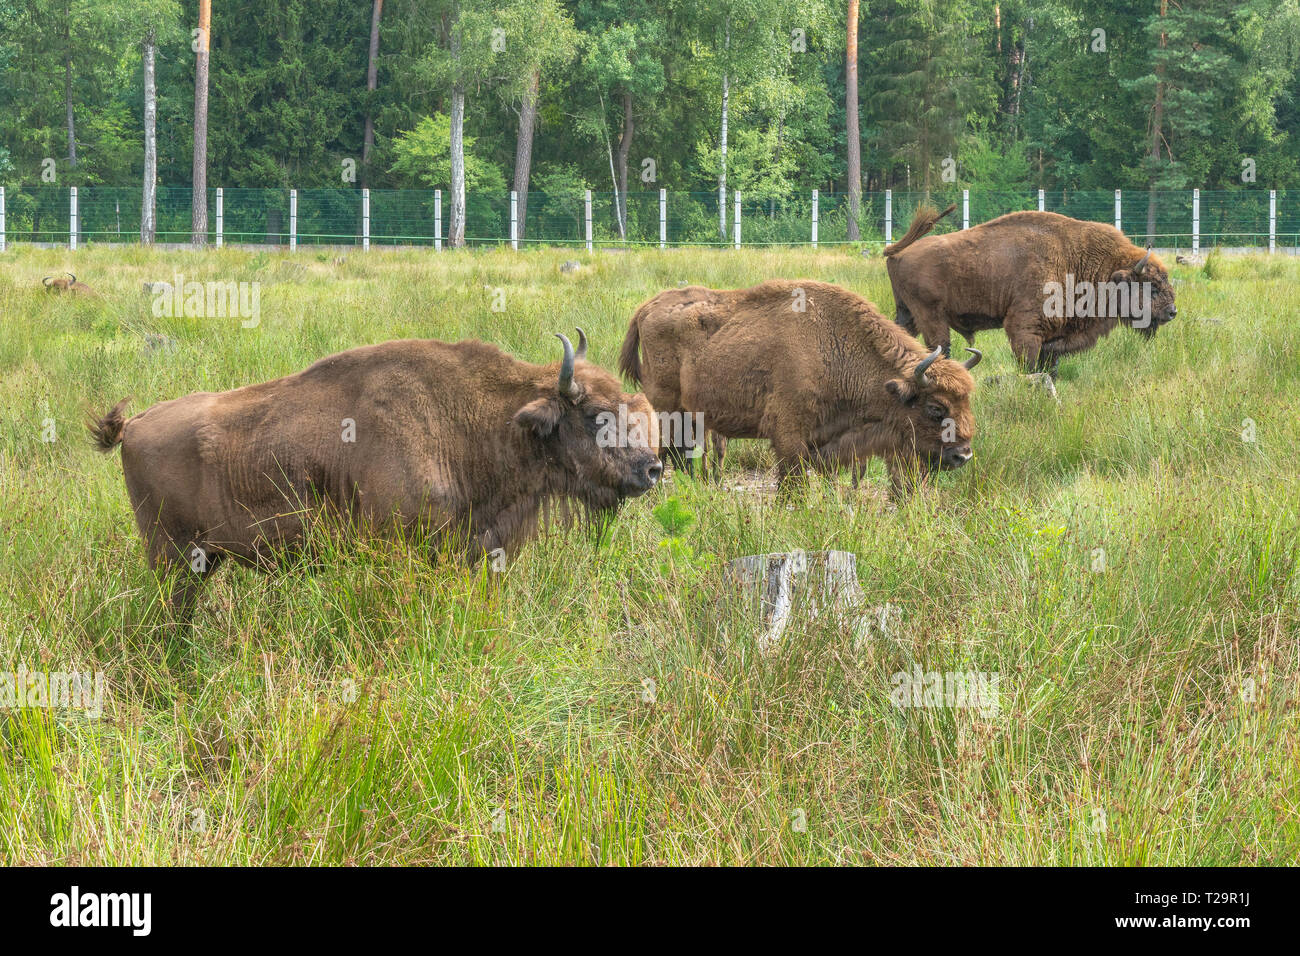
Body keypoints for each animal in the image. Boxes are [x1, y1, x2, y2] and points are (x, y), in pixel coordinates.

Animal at [619, 280, 981, 495]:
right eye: (935, 408)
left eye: (966, 403)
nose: (963, 455)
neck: (836, 347)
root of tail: (647, 307)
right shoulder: (789, 436)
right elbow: (794, 486)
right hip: (666, 408)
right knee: (669, 453)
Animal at [884, 206, 1177, 375]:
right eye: (1151, 287)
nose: (1172, 312)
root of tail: (897, 253)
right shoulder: (1025, 329)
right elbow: (1029, 364)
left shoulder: (1055, 338)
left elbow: (1051, 367)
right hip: (931, 317)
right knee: (940, 348)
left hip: (908, 315)